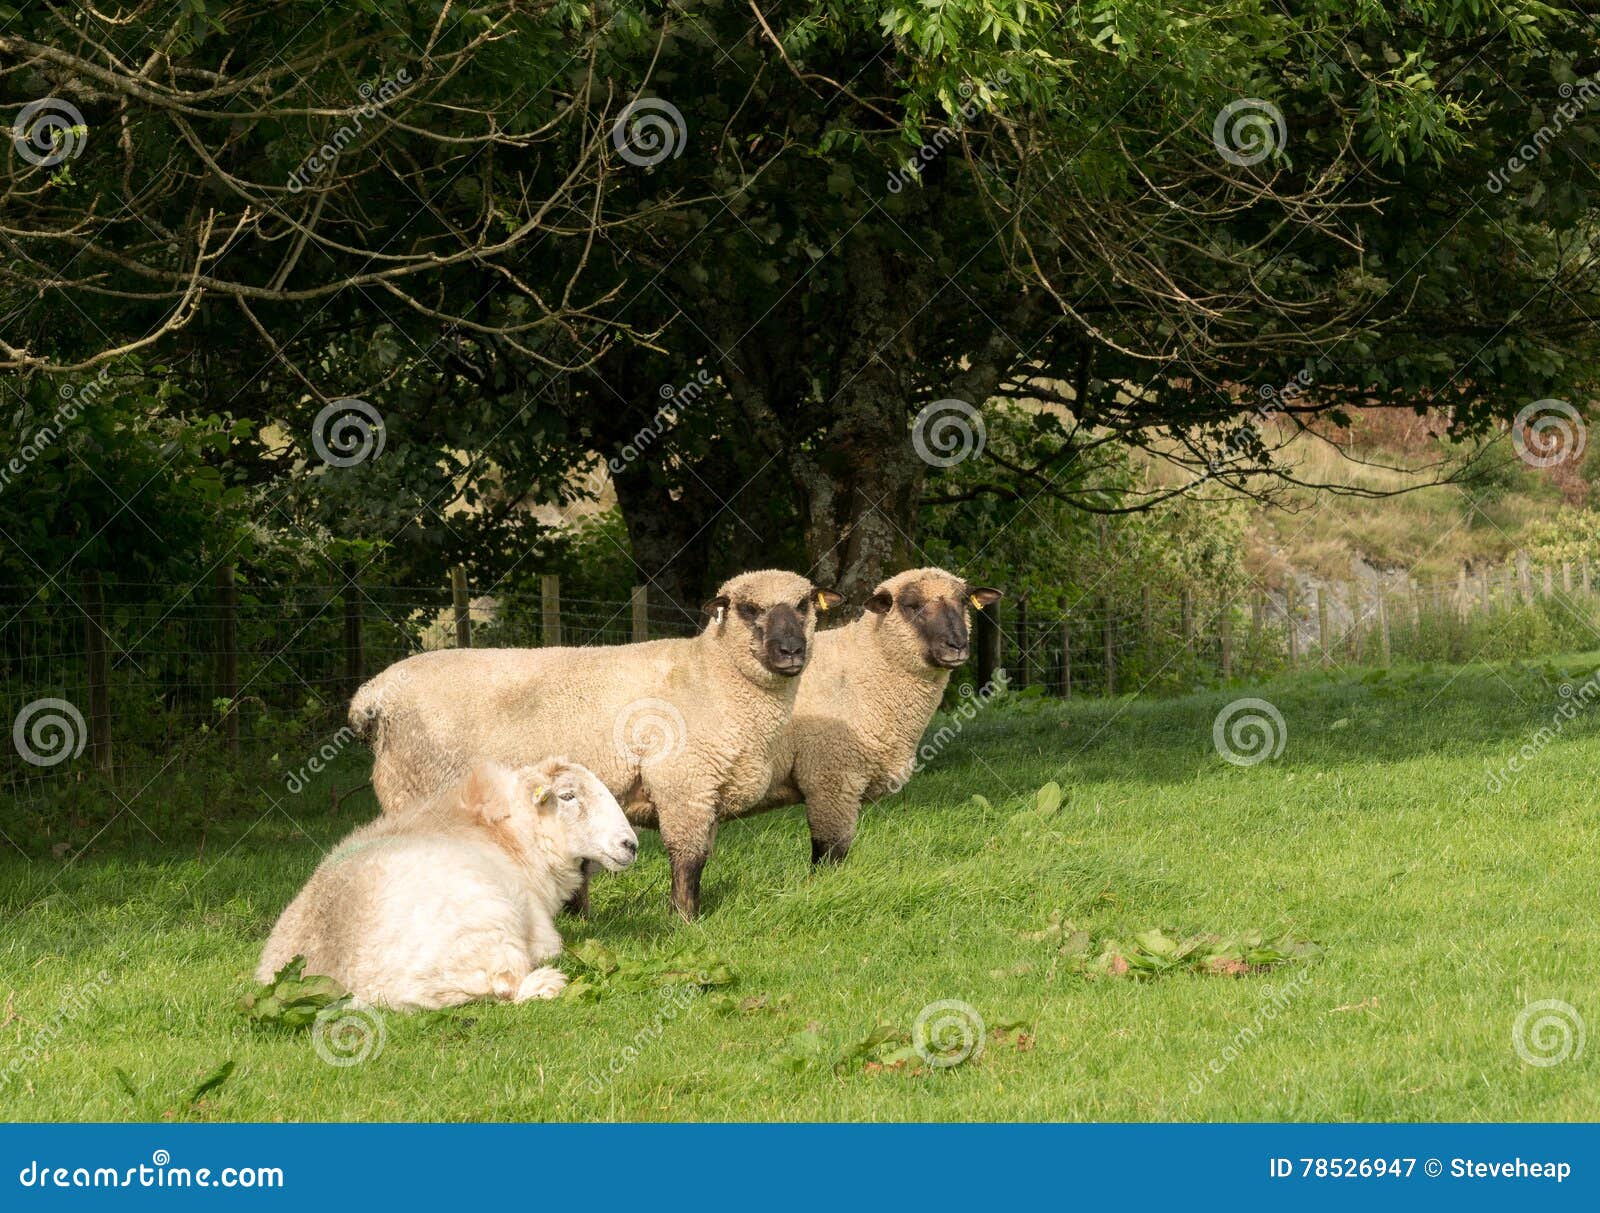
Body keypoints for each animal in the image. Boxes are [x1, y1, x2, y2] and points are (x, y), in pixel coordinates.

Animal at [256, 757, 638, 1010]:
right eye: (569, 796)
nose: (630, 845)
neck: (510, 834)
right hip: (487, 920)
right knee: (506, 988)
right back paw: (547, 984)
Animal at [349, 568, 843, 920]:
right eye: (747, 608)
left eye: (804, 604)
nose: (791, 651)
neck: (711, 675)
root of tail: (372, 695)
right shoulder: (683, 785)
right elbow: (689, 860)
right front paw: (684, 920)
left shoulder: (703, 791)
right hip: (414, 788)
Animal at [760, 567, 1002, 862]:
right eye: (912, 606)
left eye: (964, 602)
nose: (957, 645)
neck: (866, 664)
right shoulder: (831, 778)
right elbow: (829, 852)